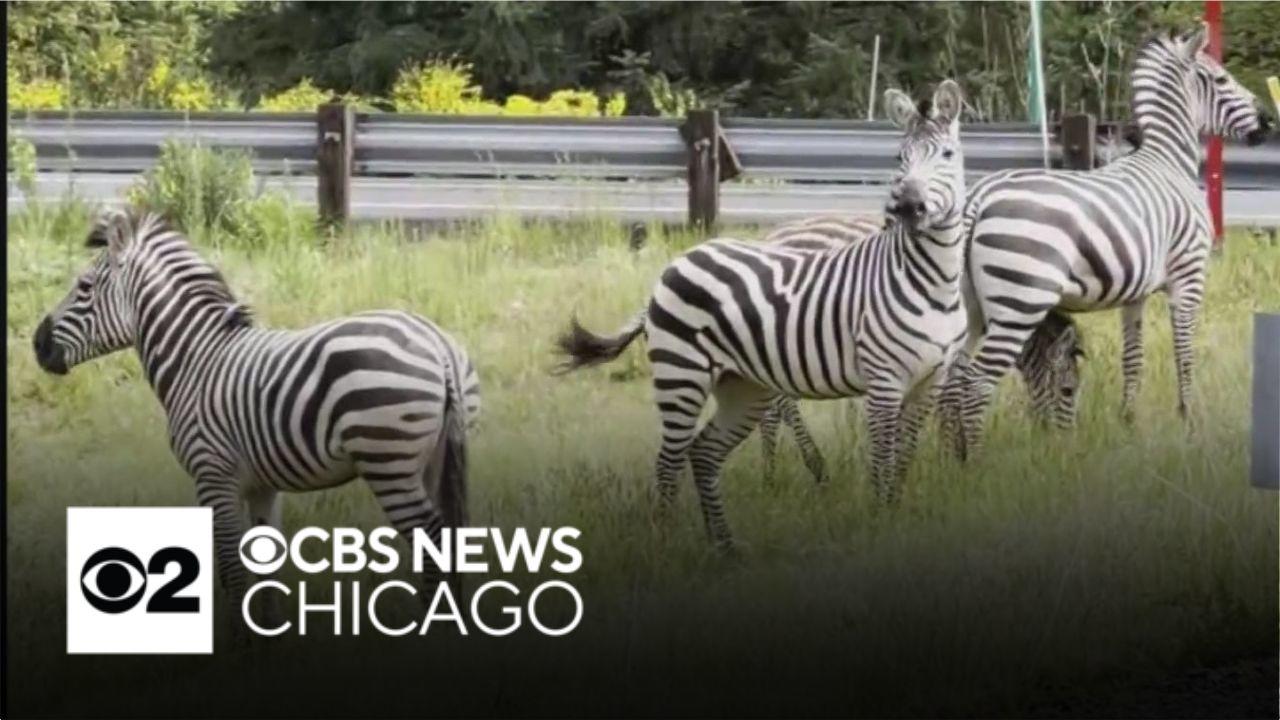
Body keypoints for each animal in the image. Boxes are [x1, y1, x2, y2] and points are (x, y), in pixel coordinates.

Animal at [33, 208, 481, 623]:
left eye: (84, 287)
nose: (37, 345)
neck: (195, 360)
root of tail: (439, 345)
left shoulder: (213, 477)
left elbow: (231, 573)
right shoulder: (262, 485)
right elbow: (264, 570)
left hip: (388, 460)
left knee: (434, 543)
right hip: (431, 459)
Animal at [554, 81, 970, 550]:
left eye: (947, 155)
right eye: (900, 157)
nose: (910, 209)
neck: (934, 283)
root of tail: (679, 261)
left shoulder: (930, 382)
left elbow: (902, 461)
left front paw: (895, 522)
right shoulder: (884, 382)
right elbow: (882, 464)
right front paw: (881, 528)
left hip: (743, 386)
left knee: (703, 453)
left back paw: (726, 547)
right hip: (682, 375)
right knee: (668, 460)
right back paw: (664, 542)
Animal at [756, 216, 1087, 486]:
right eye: (1068, 391)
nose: (1063, 452)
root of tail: (774, 236)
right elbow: (948, 397)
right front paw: (949, 458)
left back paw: (772, 473)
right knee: (780, 403)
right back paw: (808, 466)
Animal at [947, 23, 1272, 460]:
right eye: (1221, 80)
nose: (1267, 121)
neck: (1169, 163)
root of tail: (979, 197)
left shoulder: (1135, 293)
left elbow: (1133, 358)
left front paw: (1128, 421)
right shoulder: (1189, 276)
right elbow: (1184, 352)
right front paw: (1189, 422)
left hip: (970, 306)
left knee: (953, 377)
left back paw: (953, 456)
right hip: (1020, 300)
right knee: (976, 381)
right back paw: (977, 463)